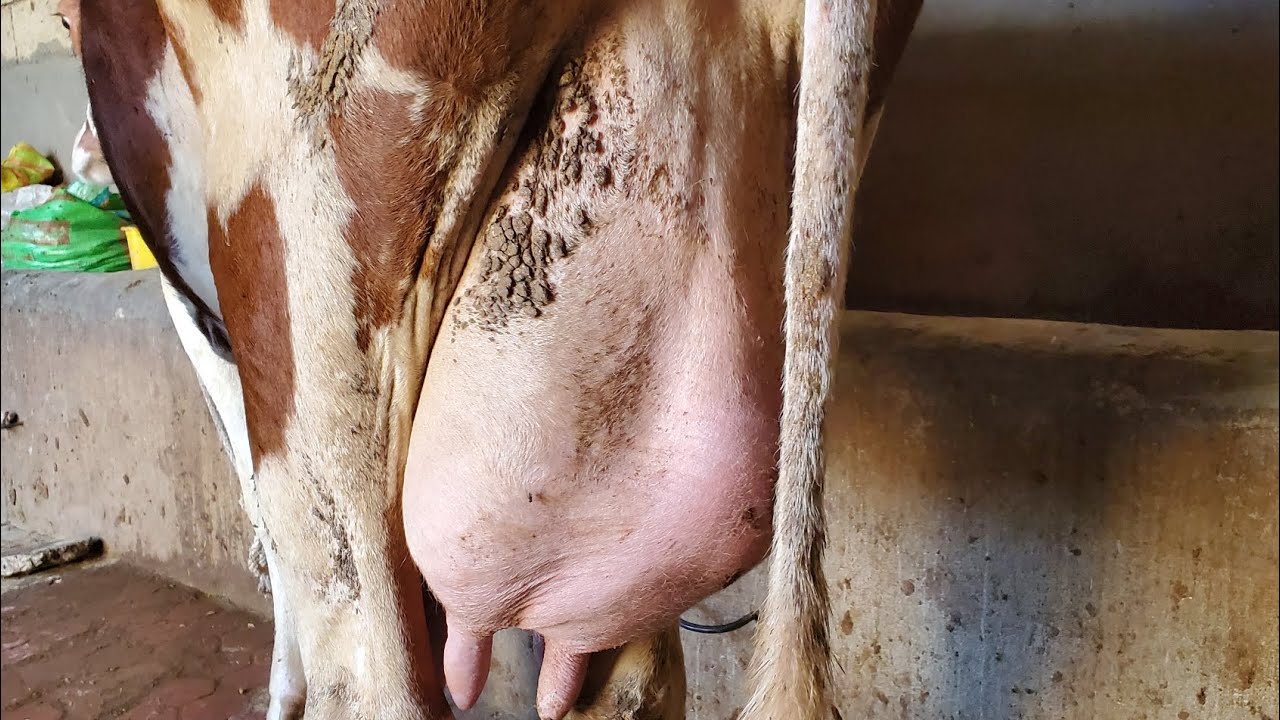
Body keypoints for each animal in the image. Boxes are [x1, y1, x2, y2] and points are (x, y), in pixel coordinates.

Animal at [56, 0, 921, 717]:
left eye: (66, 26)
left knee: (371, 667)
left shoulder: (203, 324)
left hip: (307, 280)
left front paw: (280, 689)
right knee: (630, 677)